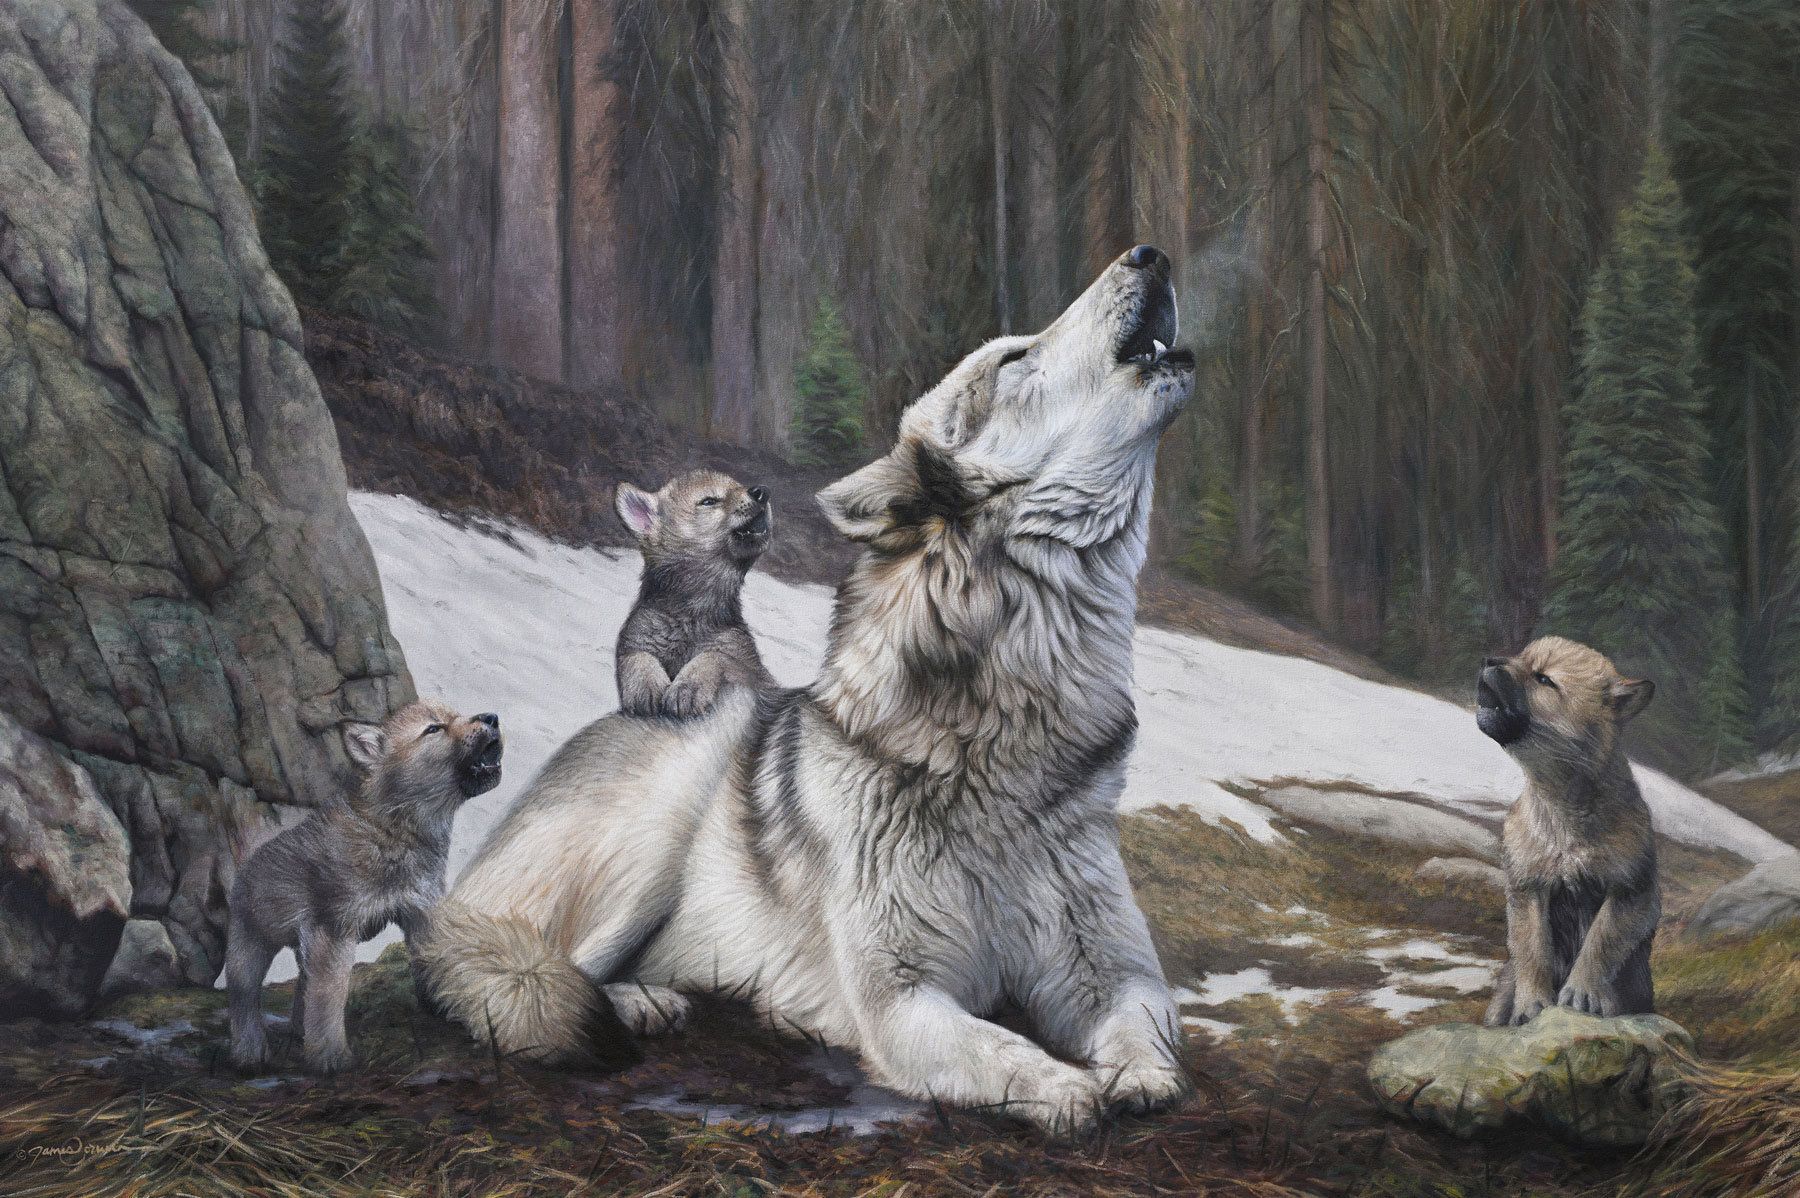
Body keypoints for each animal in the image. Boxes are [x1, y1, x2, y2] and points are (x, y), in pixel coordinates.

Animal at [227, 701, 503, 1072]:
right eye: (434, 729)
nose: (492, 718)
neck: (394, 830)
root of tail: (250, 859)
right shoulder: (333, 931)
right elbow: (329, 998)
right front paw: (330, 1058)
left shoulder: (420, 913)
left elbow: (433, 965)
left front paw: (446, 1012)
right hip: (251, 946)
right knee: (244, 999)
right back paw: (248, 1052)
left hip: (303, 946)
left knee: (303, 988)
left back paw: (298, 1034)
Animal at [614, 470, 775, 718]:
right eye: (709, 501)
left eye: (739, 485)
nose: (762, 491)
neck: (690, 616)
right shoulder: (635, 641)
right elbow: (638, 657)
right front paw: (646, 687)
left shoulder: (751, 668)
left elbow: (716, 657)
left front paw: (687, 688)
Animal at [1476, 636, 1660, 1026]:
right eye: (1520, 657)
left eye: (1544, 679)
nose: (1488, 659)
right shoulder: (1529, 888)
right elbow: (1533, 951)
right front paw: (1532, 1004)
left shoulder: (1630, 891)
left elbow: (1598, 944)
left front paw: (1582, 993)